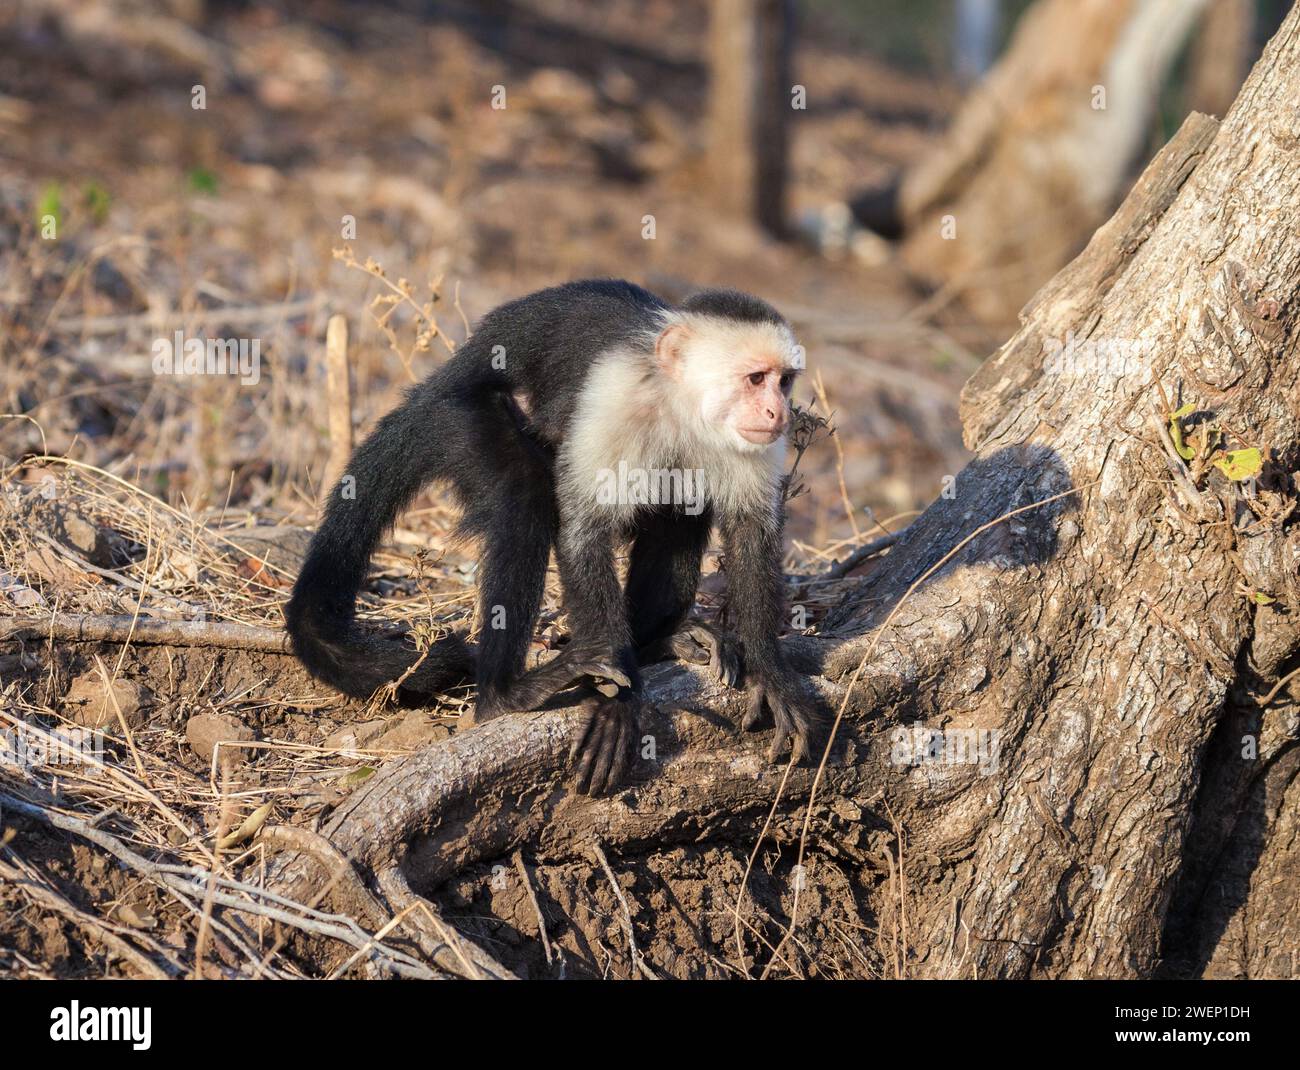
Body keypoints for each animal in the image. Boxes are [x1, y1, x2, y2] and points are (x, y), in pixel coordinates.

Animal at [285, 279, 822, 795]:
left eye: (783, 381)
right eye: (755, 379)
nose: (778, 413)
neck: (680, 406)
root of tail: (448, 373)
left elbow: (751, 533)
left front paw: (770, 672)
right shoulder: (615, 395)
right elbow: (582, 527)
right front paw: (617, 701)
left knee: (679, 511)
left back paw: (658, 641)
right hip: (456, 416)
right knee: (525, 494)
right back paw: (505, 695)